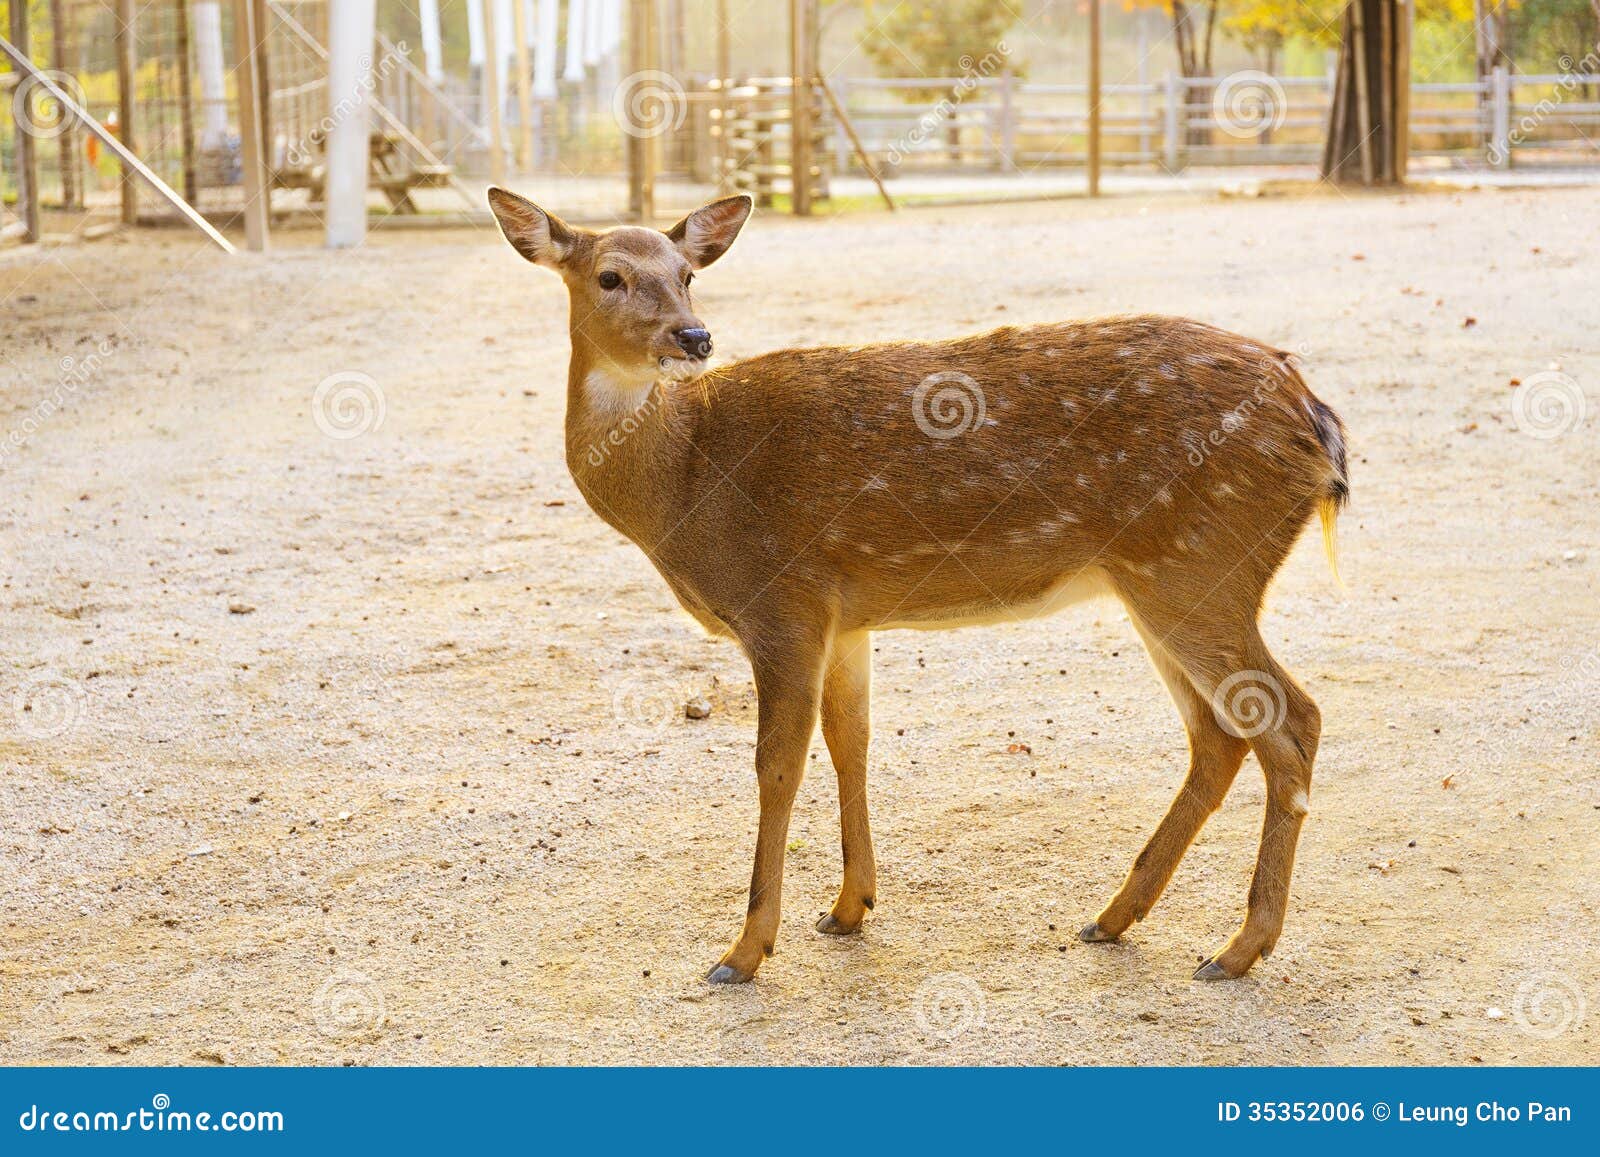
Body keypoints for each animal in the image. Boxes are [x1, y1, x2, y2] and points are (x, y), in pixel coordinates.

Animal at [486, 187, 1348, 985]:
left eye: (688, 274)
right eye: (610, 275)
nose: (693, 336)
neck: (686, 483)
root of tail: (1316, 423)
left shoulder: (783, 599)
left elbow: (776, 765)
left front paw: (744, 950)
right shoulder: (845, 616)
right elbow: (852, 742)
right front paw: (848, 907)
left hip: (1200, 563)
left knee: (1291, 718)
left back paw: (1238, 947)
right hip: (1162, 580)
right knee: (1218, 736)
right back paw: (1114, 916)